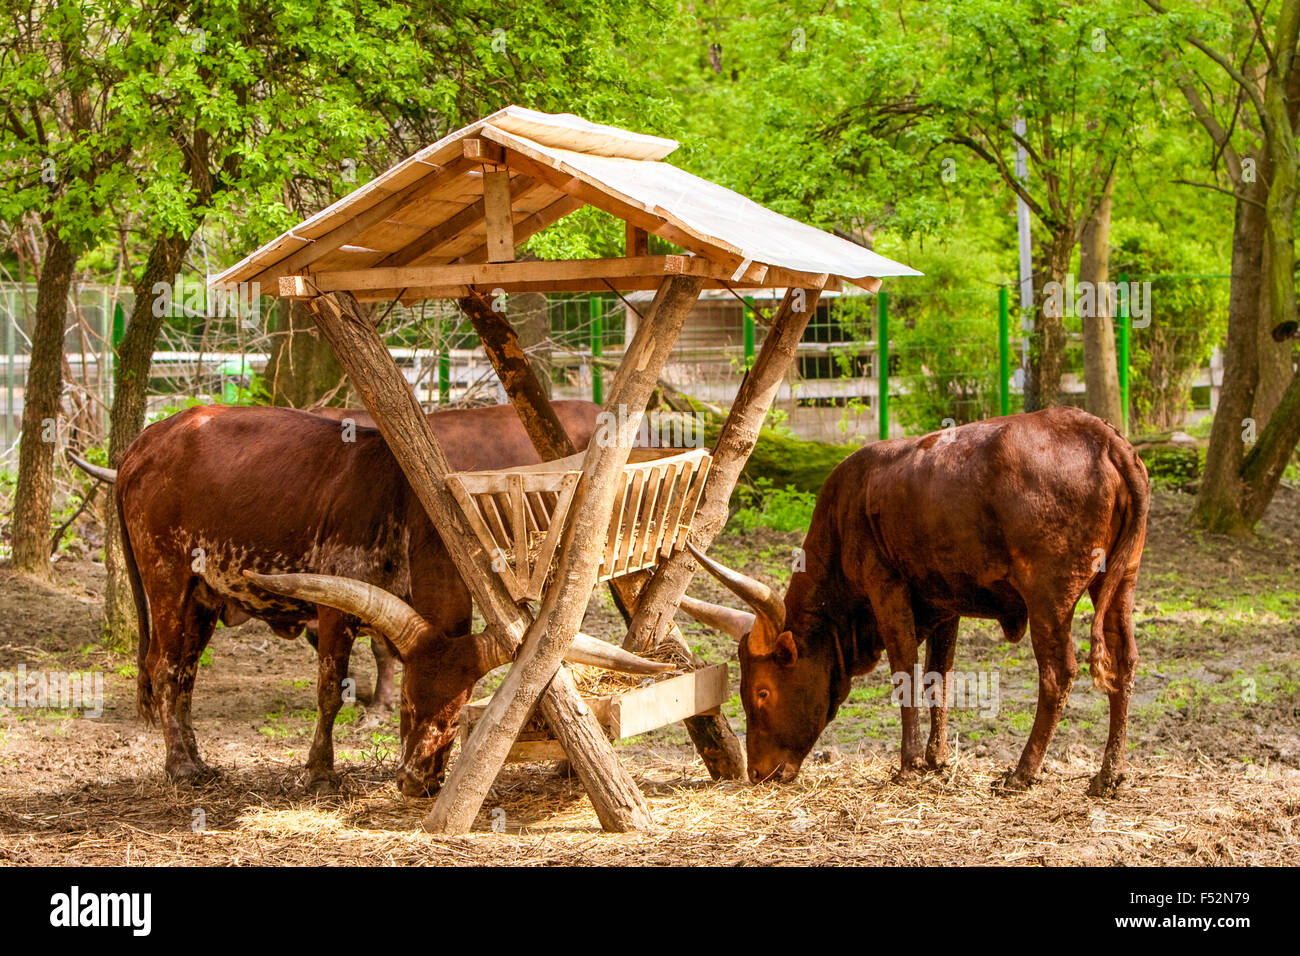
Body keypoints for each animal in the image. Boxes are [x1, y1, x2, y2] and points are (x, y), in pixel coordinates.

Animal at [110, 400, 668, 795]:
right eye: (407, 705)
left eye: (456, 716)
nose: (417, 782)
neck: (399, 507)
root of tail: (146, 441)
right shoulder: (334, 609)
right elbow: (330, 691)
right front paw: (319, 773)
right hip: (168, 580)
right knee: (165, 668)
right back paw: (181, 767)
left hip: (202, 596)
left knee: (185, 671)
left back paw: (195, 758)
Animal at [680, 407, 1149, 797]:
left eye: (762, 692)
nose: (759, 772)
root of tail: (1104, 437)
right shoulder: (946, 603)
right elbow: (938, 675)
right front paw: (935, 758)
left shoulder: (886, 586)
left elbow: (905, 668)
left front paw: (908, 764)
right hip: (1120, 581)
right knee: (1124, 660)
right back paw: (1109, 774)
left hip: (1049, 594)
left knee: (1058, 672)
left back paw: (1023, 772)